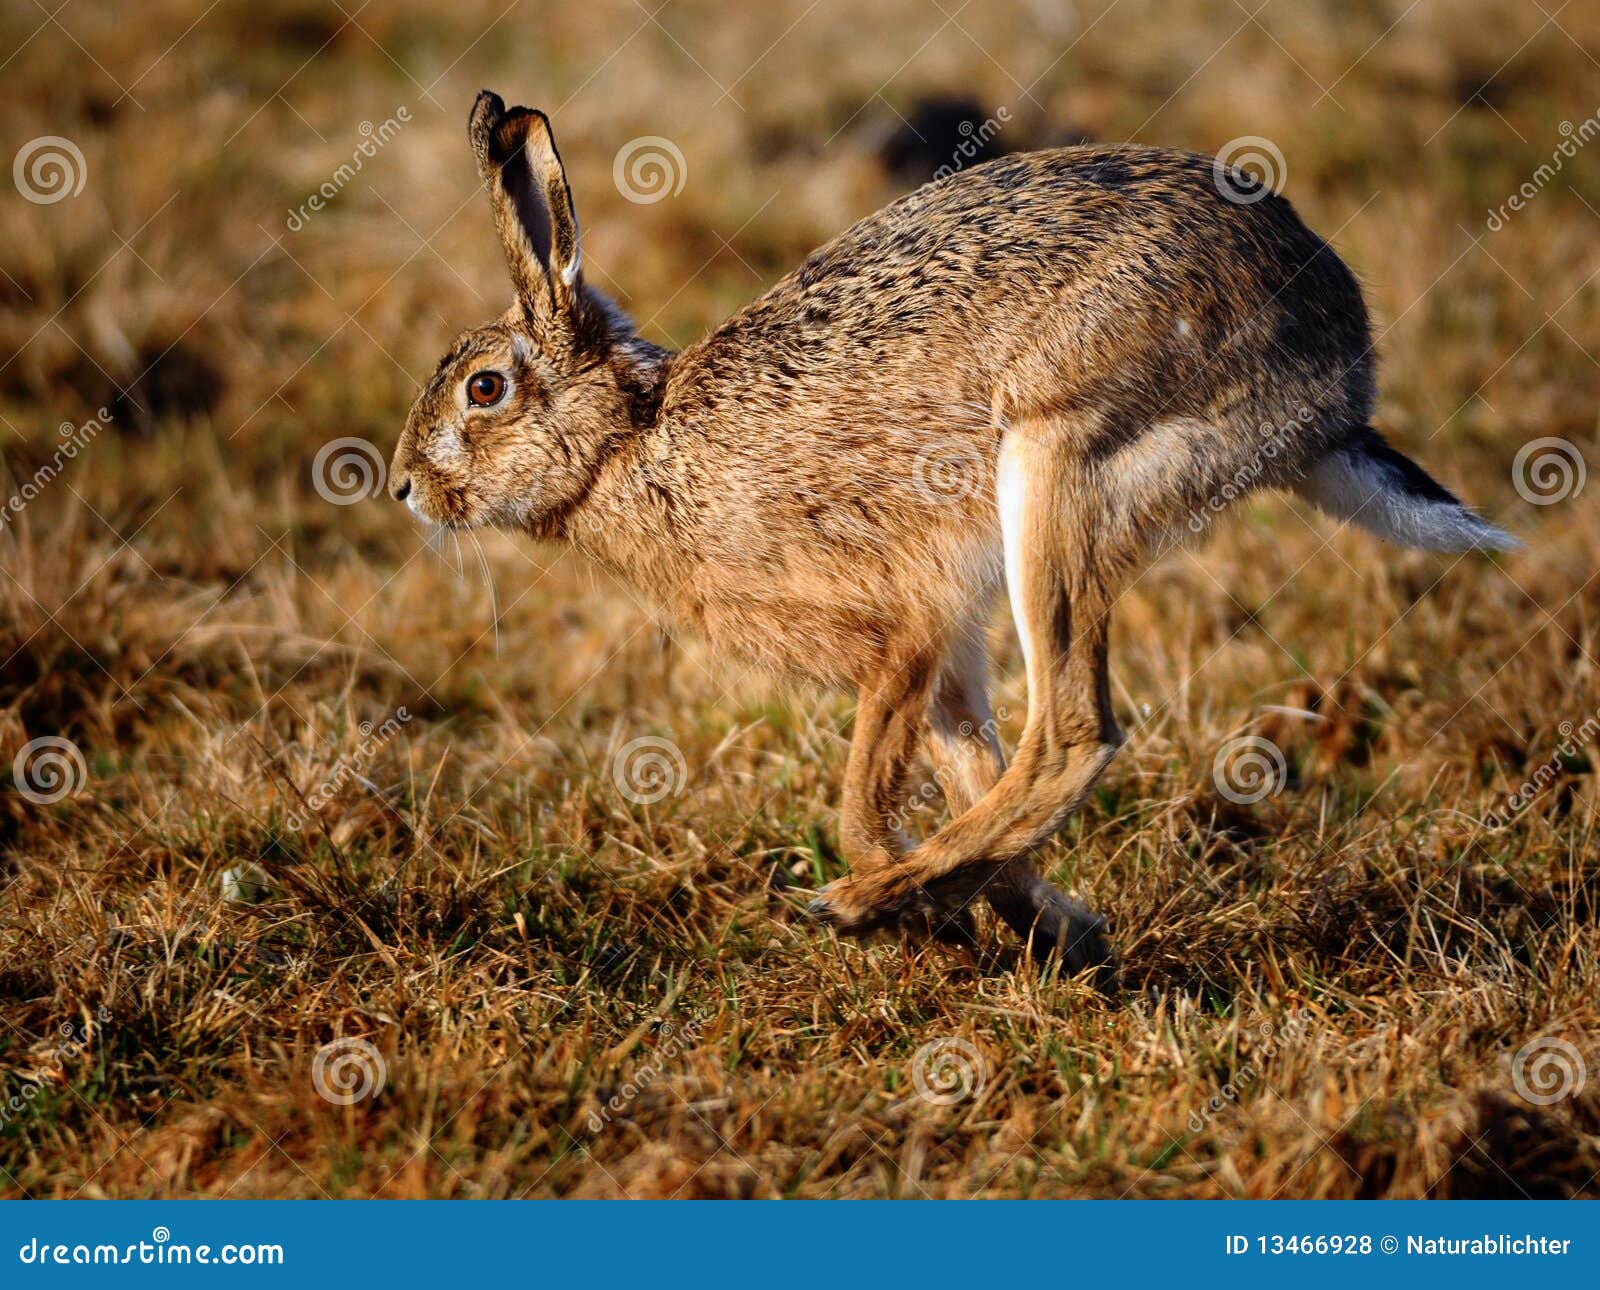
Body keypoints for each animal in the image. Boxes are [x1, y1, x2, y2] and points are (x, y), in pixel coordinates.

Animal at [388, 90, 1515, 976]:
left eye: (484, 389)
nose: (402, 487)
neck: (630, 440)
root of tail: (1335, 382)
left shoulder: (894, 629)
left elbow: (862, 802)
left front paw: (897, 902)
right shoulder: (944, 652)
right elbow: (970, 769)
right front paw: (1051, 927)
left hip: (1056, 465)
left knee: (1072, 732)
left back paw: (863, 906)